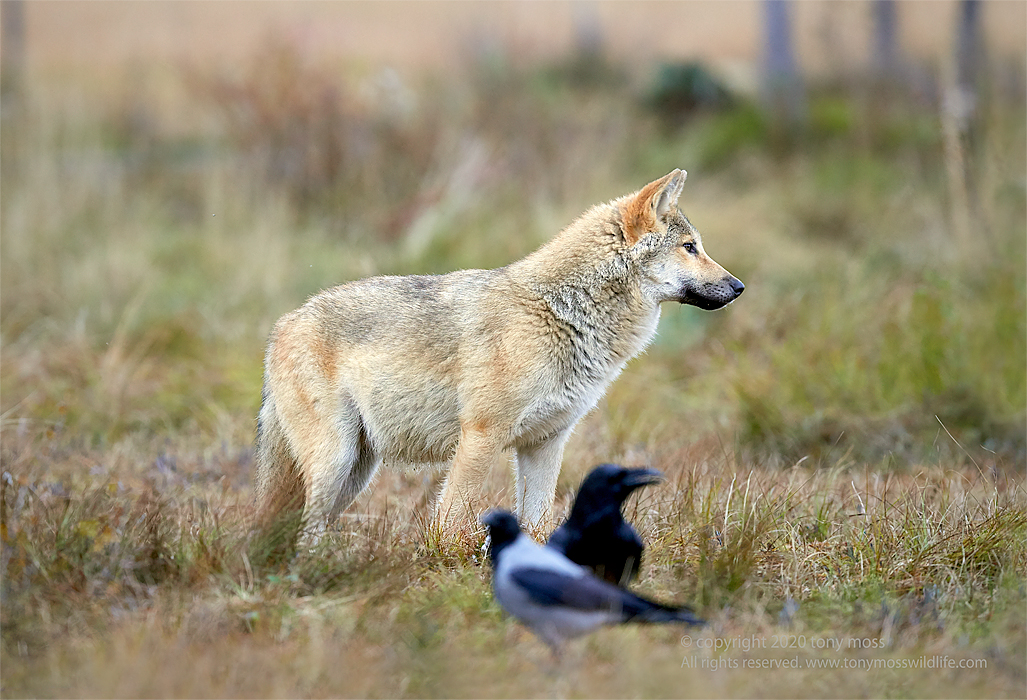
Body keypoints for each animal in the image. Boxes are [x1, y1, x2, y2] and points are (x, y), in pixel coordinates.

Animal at [253, 169, 743, 538]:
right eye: (690, 248)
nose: (738, 287)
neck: (563, 313)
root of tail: (283, 324)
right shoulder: (482, 437)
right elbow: (450, 520)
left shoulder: (545, 444)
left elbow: (538, 523)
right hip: (336, 464)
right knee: (305, 529)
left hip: (355, 471)